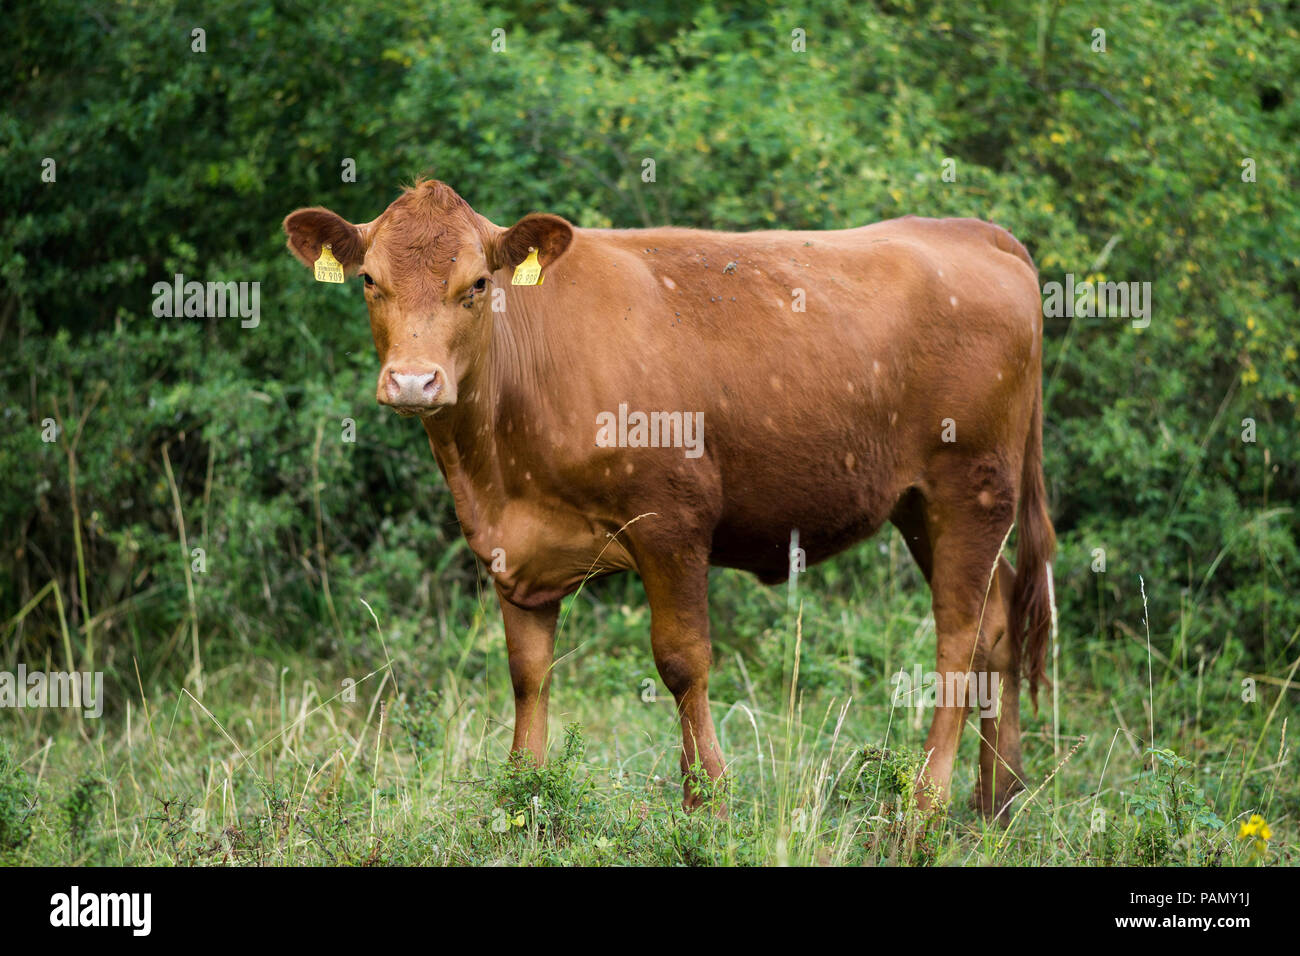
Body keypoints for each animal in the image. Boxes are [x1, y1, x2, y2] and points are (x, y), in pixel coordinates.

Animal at [284, 180, 1055, 822]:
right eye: (370, 281)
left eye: (477, 284)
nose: (414, 382)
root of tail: (973, 231)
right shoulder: (514, 546)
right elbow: (528, 674)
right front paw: (519, 799)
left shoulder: (673, 520)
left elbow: (683, 661)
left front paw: (706, 801)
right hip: (919, 507)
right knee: (996, 622)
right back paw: (997, 797)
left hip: (971, 486)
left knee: (960, 637)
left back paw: (926, 803)